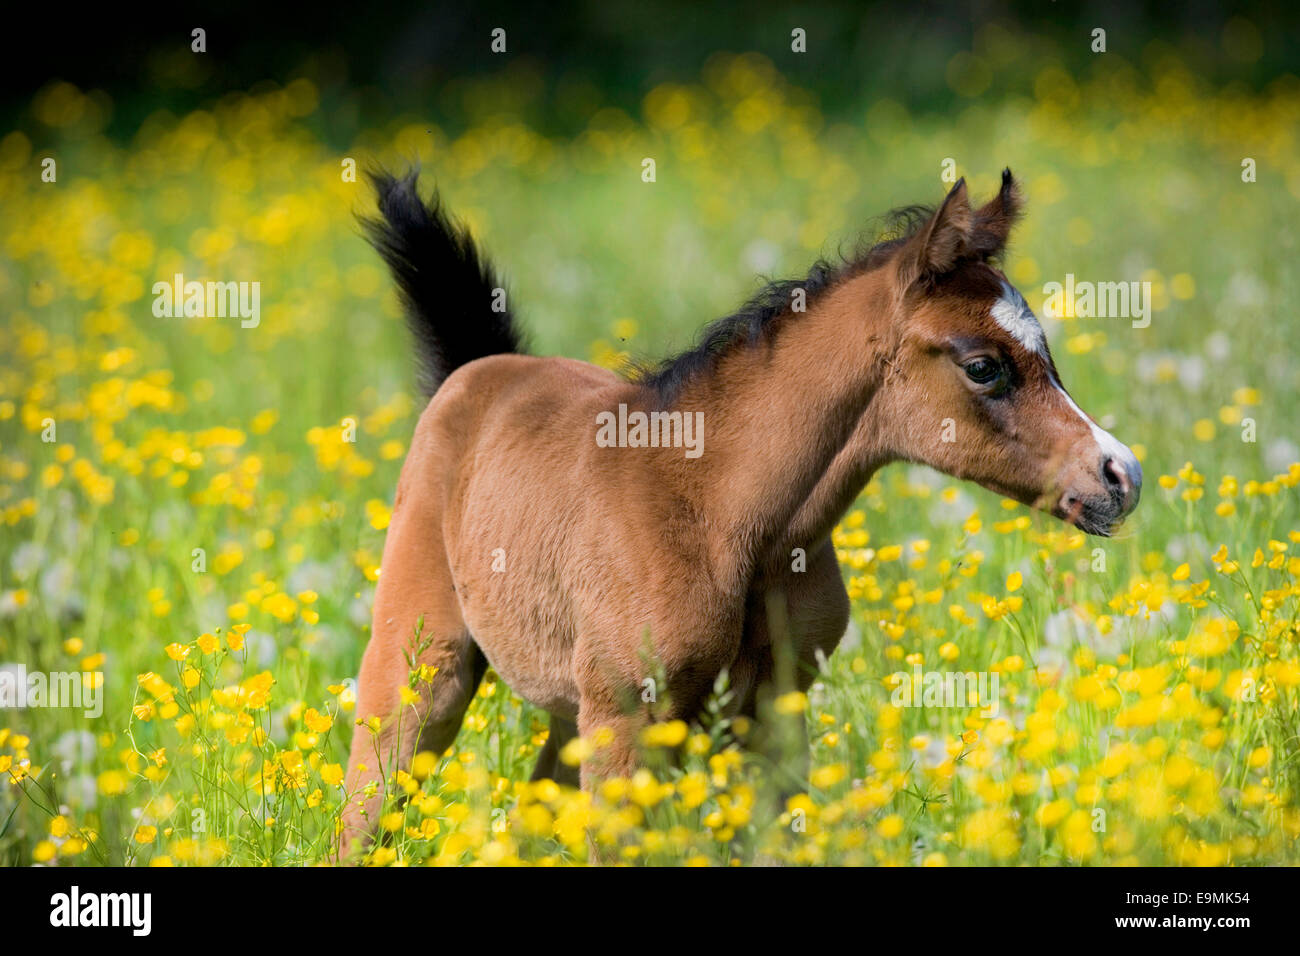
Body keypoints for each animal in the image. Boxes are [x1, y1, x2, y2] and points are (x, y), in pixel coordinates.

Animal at [340, 168, 1141, 854]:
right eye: (983, 366)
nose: (1121, 475)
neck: (724, 514)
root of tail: (475, 373)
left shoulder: (772, 714)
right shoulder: (625, 718)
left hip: (568, 712)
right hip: (421, 669)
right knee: (363, 817)